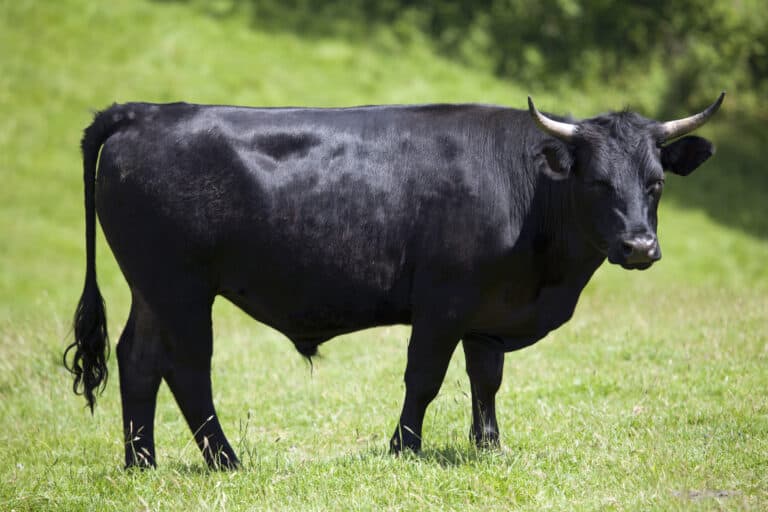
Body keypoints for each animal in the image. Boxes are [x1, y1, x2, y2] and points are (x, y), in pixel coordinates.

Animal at [64, 92, 724, 469]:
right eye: (597, 182)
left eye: (656, 183)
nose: (639, 246)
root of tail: (146, 112)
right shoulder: (442, 304)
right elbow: (424, 379)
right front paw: (404, 448)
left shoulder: (488, 314)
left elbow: (486, 380)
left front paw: (489, 447)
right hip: (179, 288)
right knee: (186, 367)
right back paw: (225, 461)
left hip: (152, 290)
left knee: (139, 359)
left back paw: (141, 462)